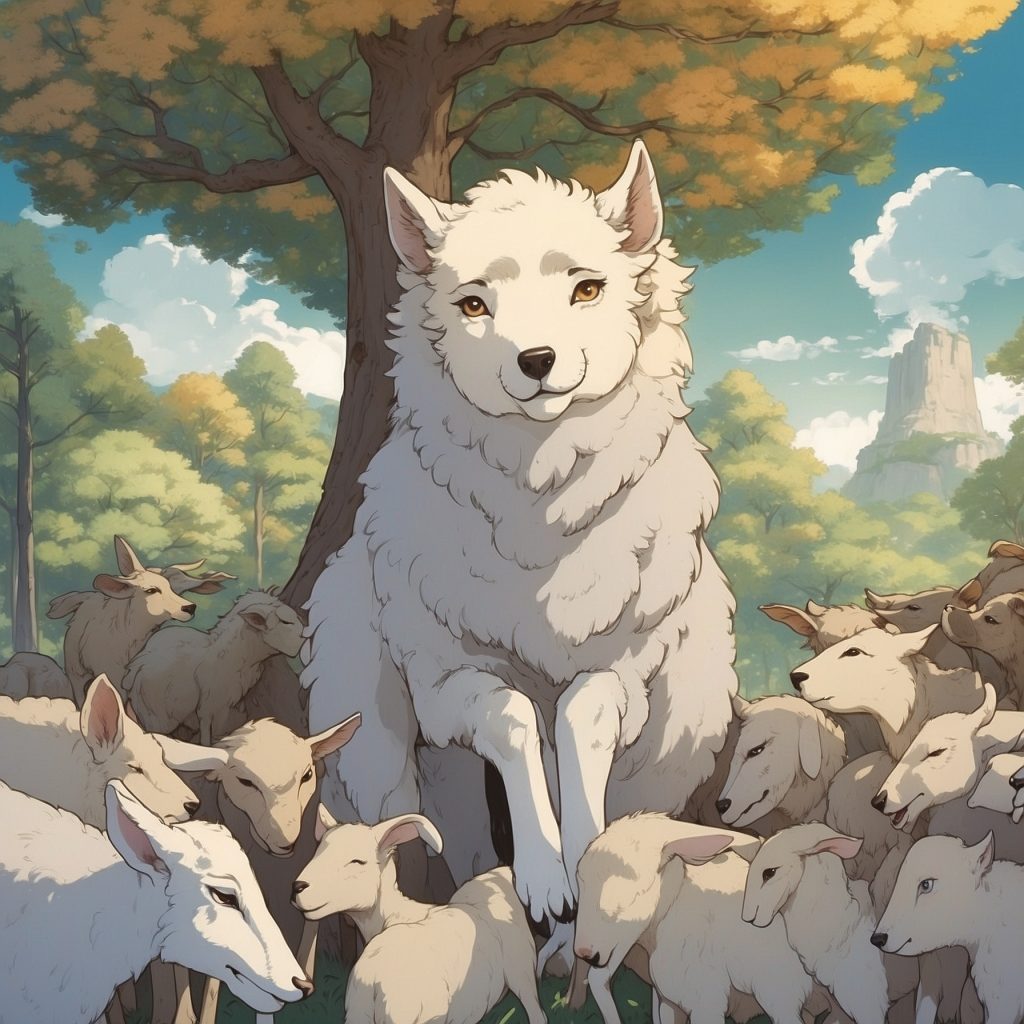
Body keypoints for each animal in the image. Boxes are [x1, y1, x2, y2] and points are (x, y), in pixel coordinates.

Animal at [123, 589, 305, 745]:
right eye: (285, 621)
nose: (305, 639)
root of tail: (136, 666)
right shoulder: (210, 706)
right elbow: (207, 736)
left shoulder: (222, 707)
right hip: (159, 715)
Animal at [291, 807, 546, 1024]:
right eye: (317, 852)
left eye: (357, 861)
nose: (297, 887)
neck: (394, 916)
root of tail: (503, 873)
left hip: (521, 971)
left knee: (538, 1014)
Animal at [301, 140, 738, 929]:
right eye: (473, 304)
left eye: (587, 289)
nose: (536, 362)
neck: (541, 533)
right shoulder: (445, 678)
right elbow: (511, 722)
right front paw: (542, 877)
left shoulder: (621, 671)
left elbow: (579, 722)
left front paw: (583, 860)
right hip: (380, 749)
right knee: (435, 831)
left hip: (678, 732)